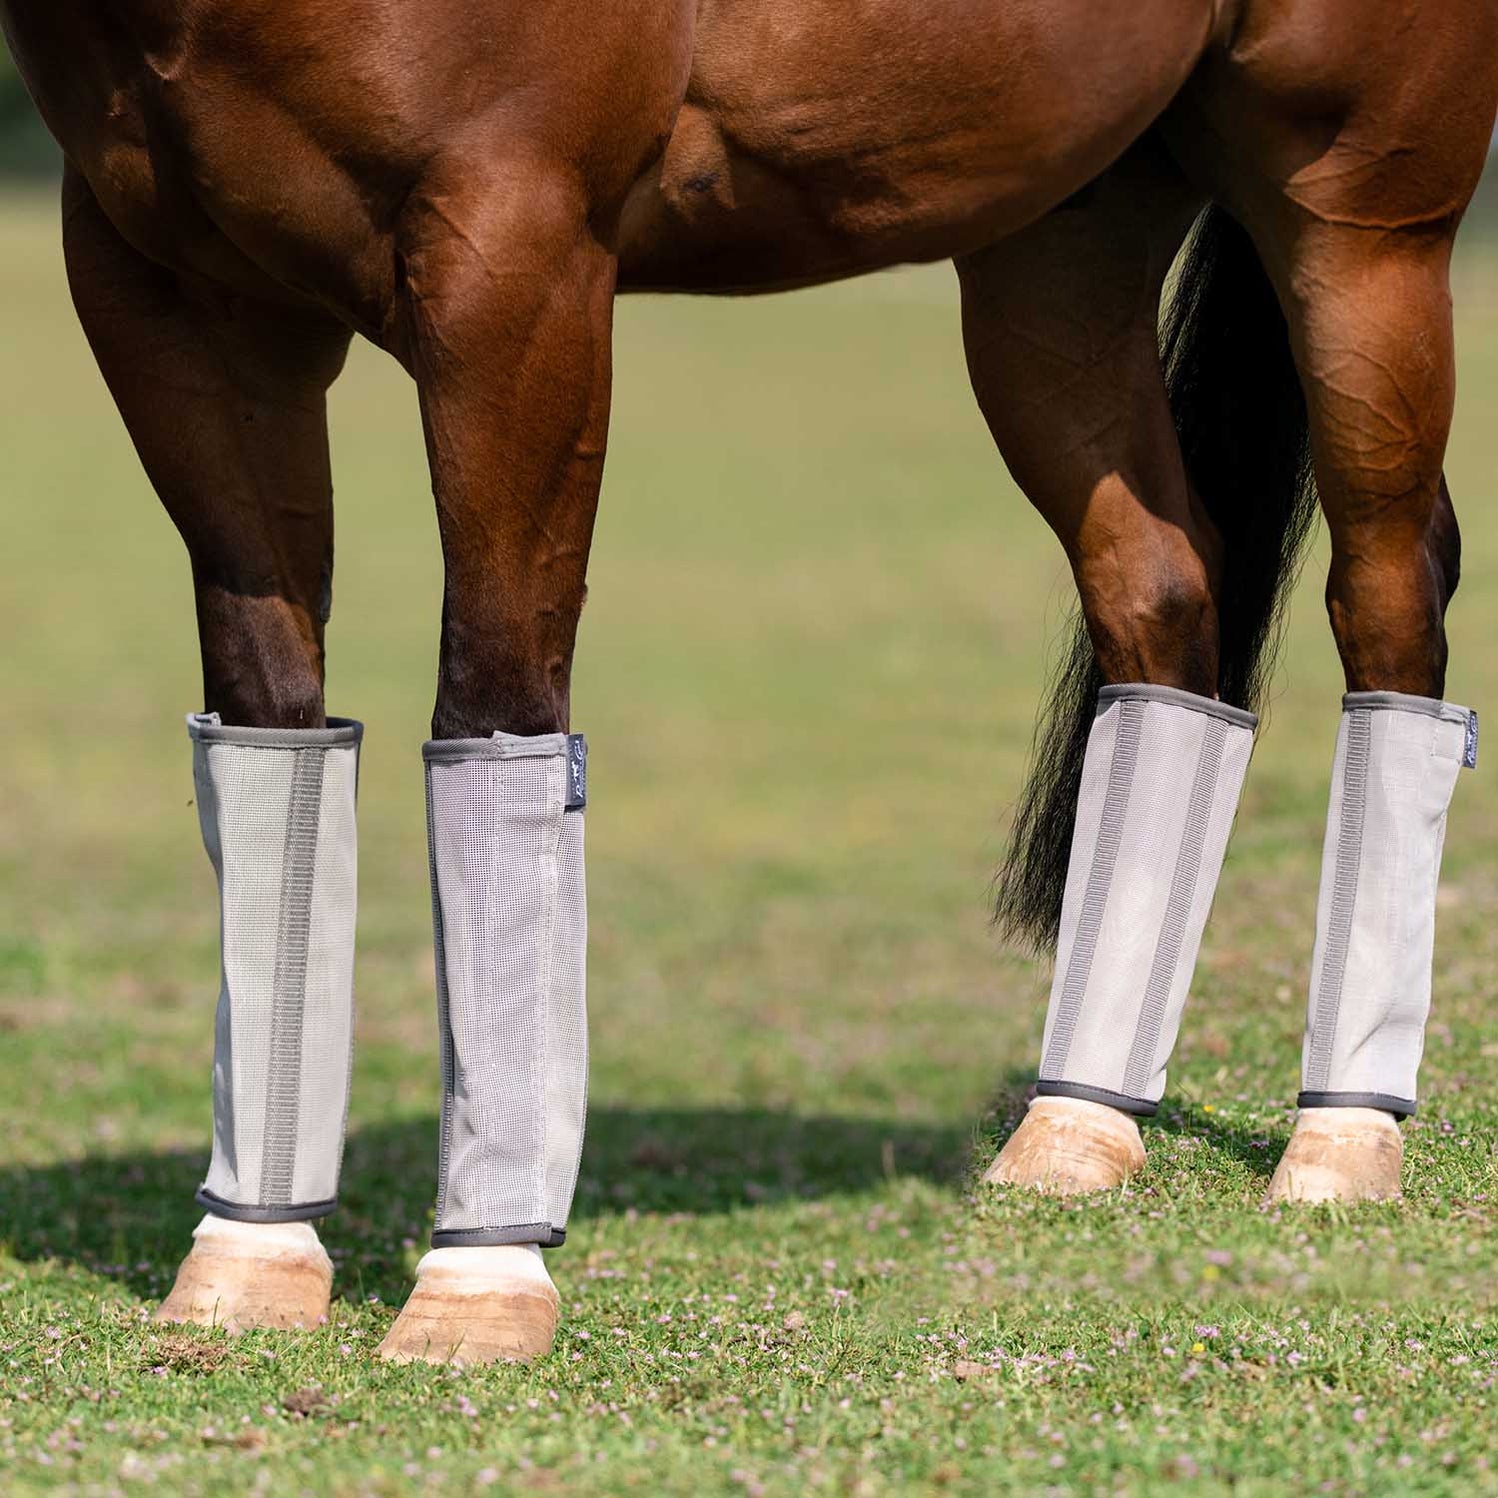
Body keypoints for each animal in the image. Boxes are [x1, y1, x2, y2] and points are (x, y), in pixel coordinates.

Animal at [2, 0, 1493, 1363]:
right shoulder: (172, 296)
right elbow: (273, 719)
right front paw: (248, 1260)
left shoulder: (514, 267)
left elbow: (495, 696)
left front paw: (481, 1281)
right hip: (1060, 247)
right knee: (1162, 602)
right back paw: (1076, 1124)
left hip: (1353, 215)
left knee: (1386, 597)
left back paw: (1341, 1140)